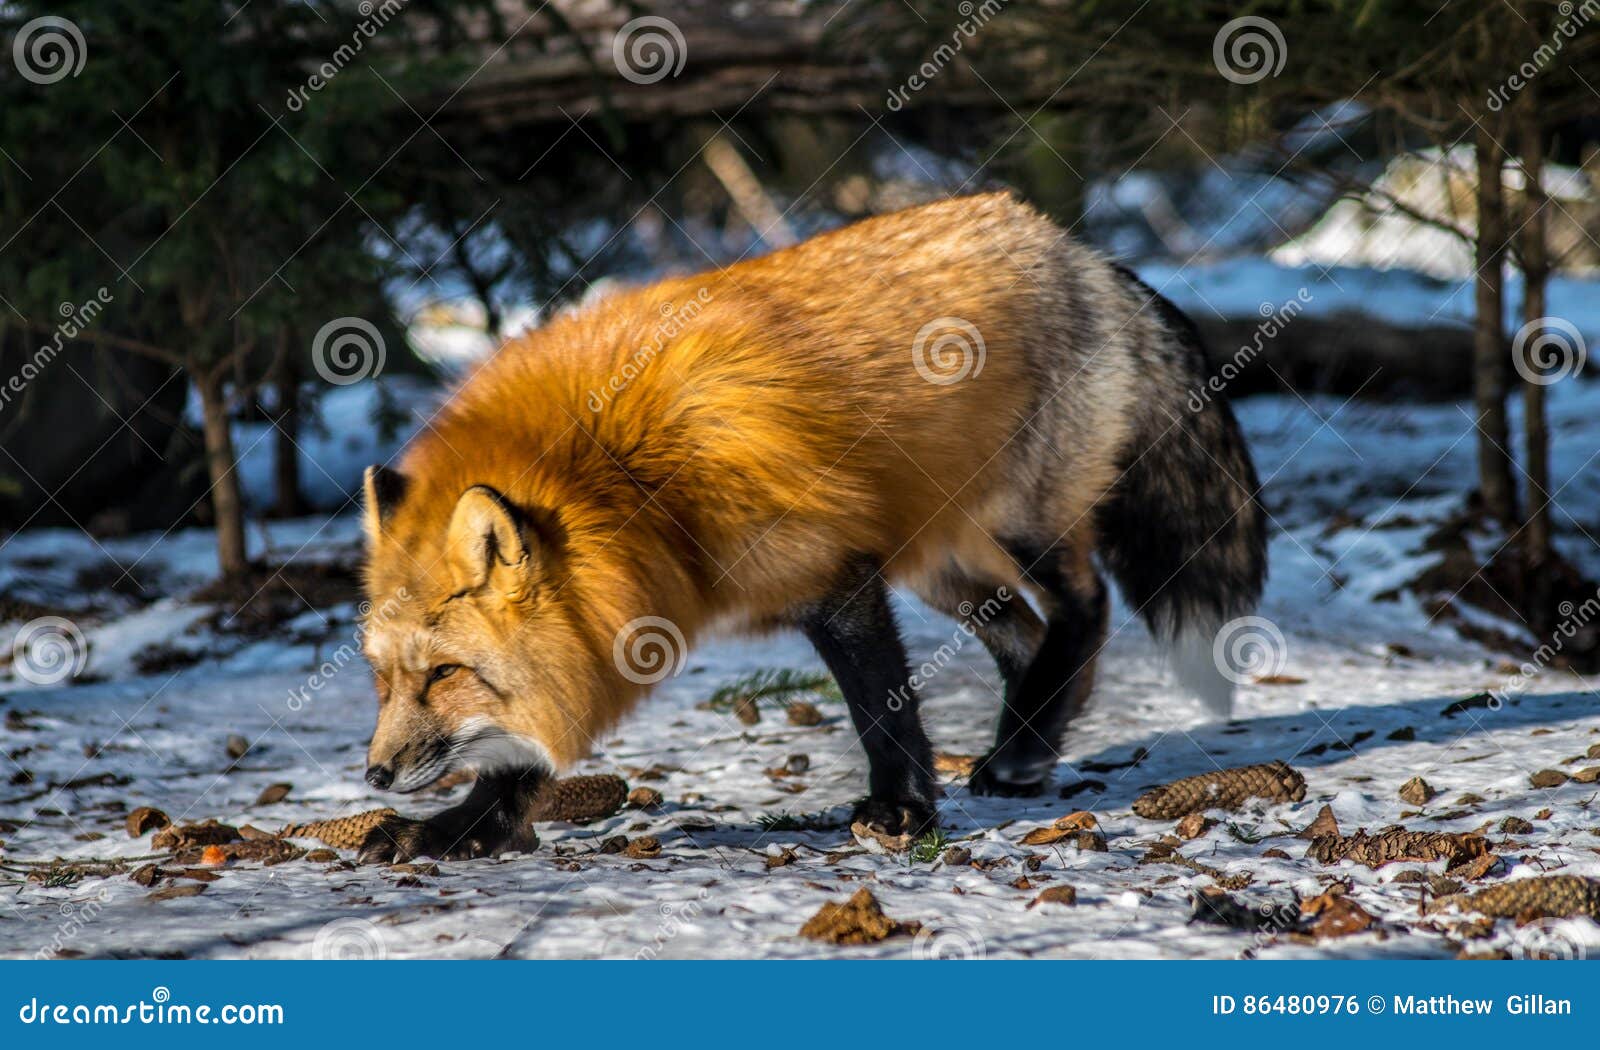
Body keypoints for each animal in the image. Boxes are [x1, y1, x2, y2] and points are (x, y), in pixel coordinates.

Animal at [355, 191, 1266, 862]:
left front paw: (901, 810)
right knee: (1028, 636)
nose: (375, 776)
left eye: (444, 673)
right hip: (938, 564)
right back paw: (1026, 750)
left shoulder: (830, 571)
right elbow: (516, 758)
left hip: (1018, 524)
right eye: (384, 678)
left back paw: (1021, 747)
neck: (630, 477)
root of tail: (1073, 247)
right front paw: (461, 831)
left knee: (1085, 605)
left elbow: (880, 707)